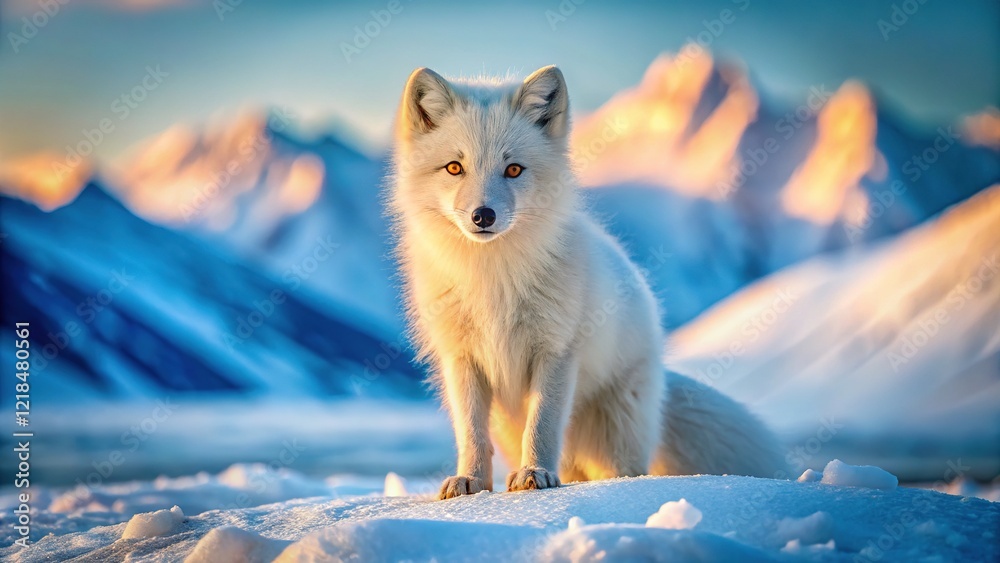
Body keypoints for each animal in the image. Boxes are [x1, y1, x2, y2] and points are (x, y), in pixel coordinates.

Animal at [389, 65, 787, 500]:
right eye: (453, 168)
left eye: (513, 169)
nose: (483, 216)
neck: (492, 278)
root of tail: (662, 374)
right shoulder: (461, 357)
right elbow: (471, 433)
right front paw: (472, 482)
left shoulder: (557, 350)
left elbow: (543, 424)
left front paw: (535, 474)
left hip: (616, 432)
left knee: (621, 468)